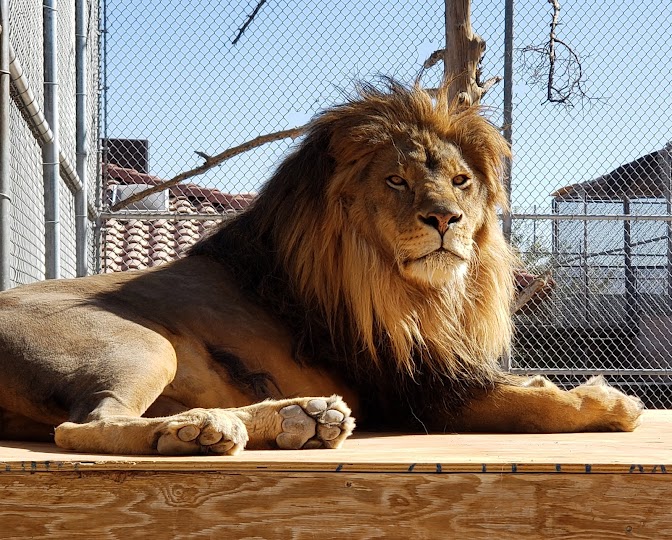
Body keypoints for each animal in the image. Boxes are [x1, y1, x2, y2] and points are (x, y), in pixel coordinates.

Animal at [0, 81, 642, 455]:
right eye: (397, 180)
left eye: (462, 180)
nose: (446, 218)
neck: (415, 291)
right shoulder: (414, 390)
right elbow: (530, 404)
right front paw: (609, 404)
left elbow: (520, 386)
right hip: (142, 343)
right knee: (80, 427)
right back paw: (194, 433)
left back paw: (298, 418)